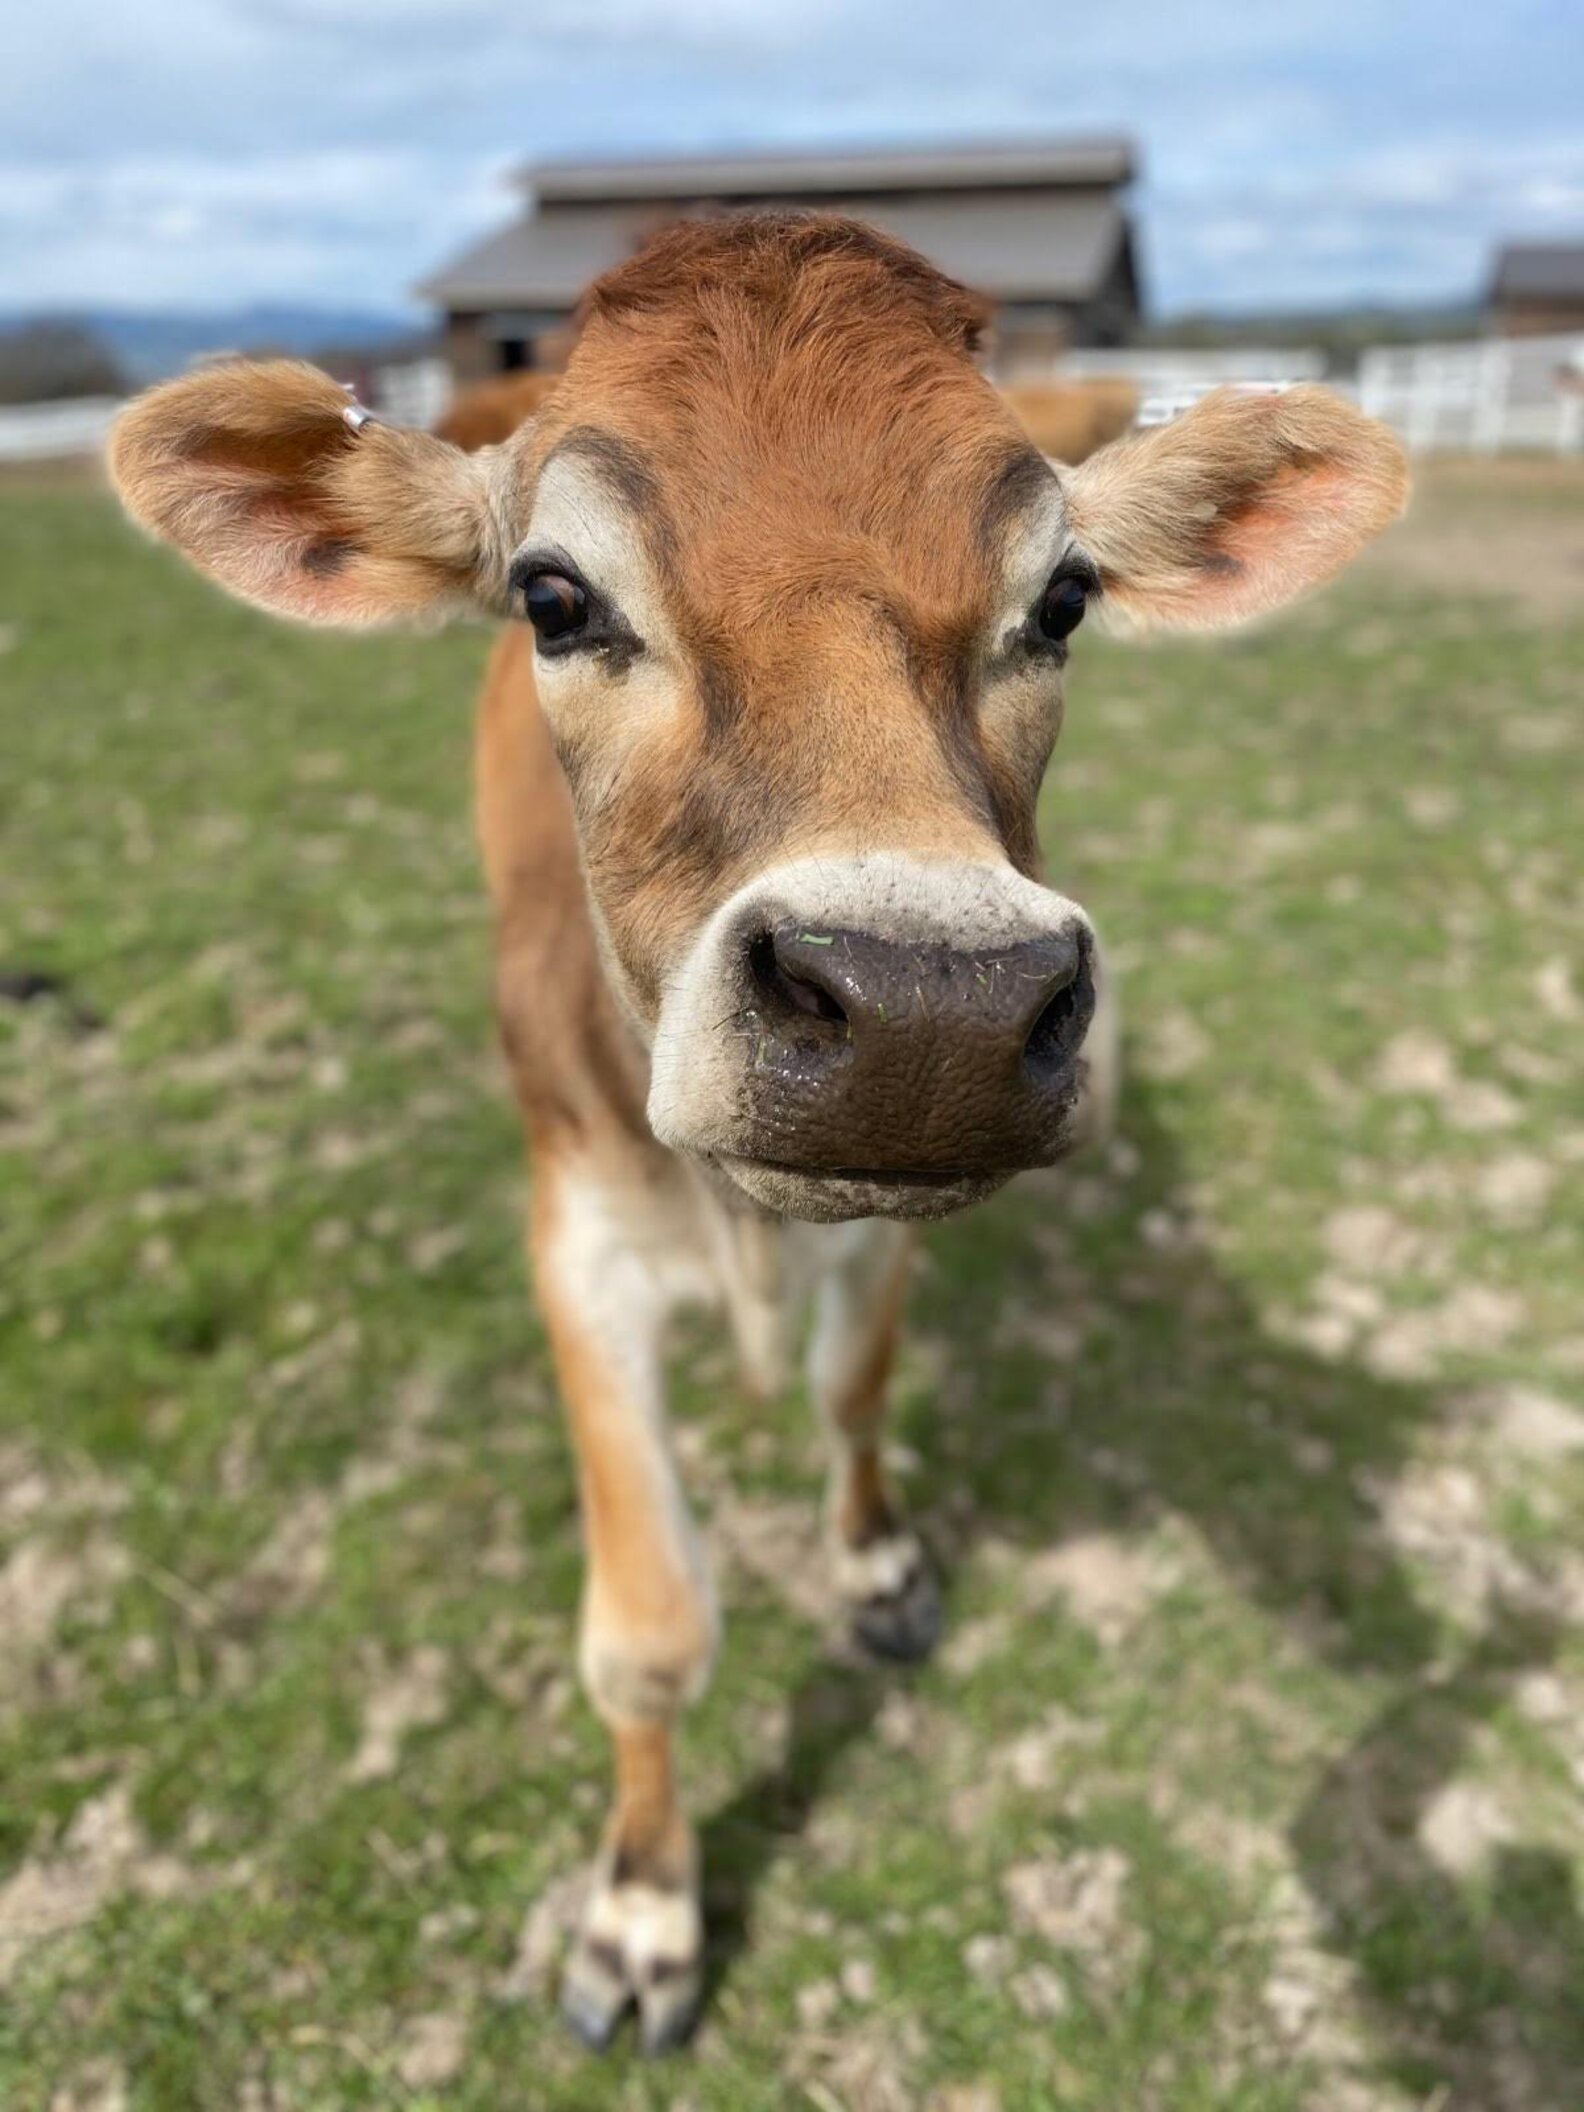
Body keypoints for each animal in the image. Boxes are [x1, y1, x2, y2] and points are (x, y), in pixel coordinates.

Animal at [109, 210, 1407, 2055]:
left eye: (1062, 597)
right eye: (553, 595)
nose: (929, 1007)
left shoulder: (888, 1209)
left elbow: (851, 1390)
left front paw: (872, 1570)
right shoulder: (577, 1236)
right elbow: (650, 1624)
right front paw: (645, 1910)